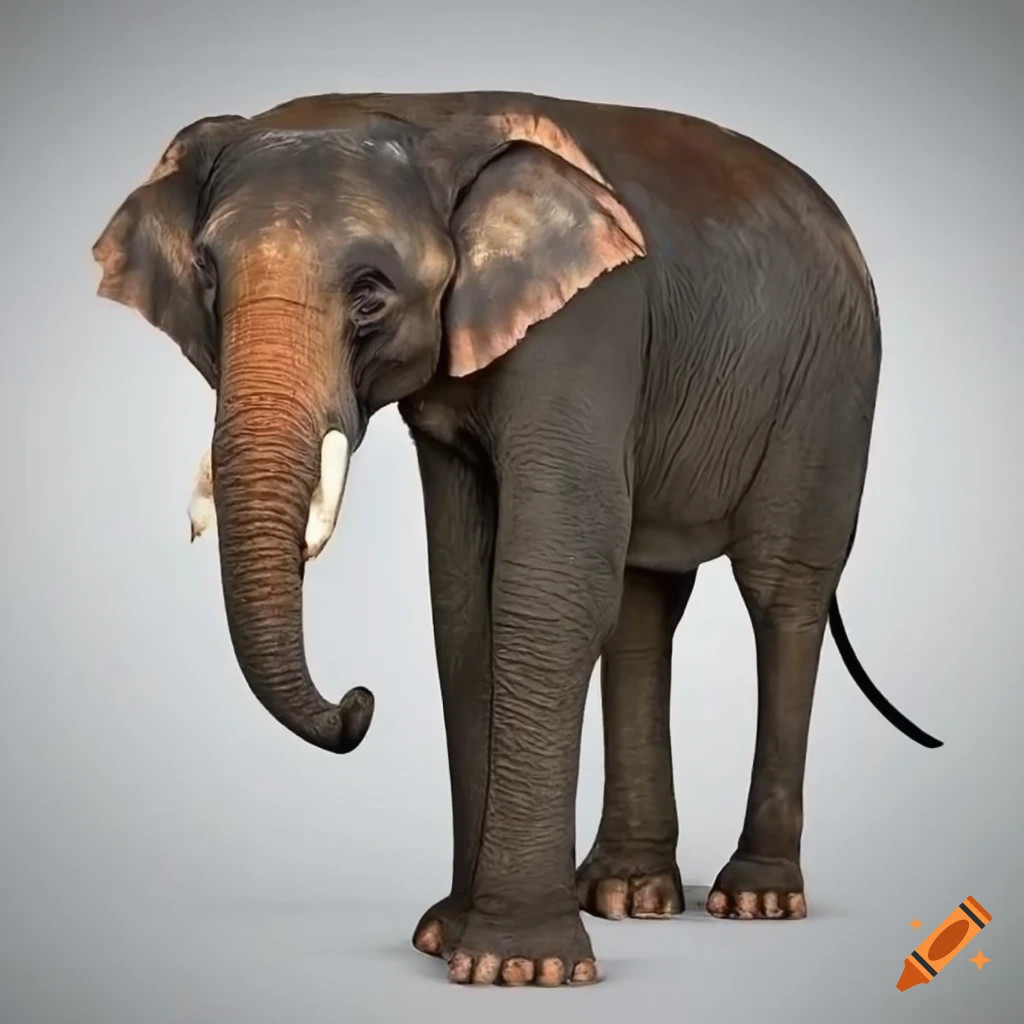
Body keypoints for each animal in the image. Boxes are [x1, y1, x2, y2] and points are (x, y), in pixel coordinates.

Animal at [92, 89, 941, 988]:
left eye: (370, 292)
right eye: (207, 276)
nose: (359, 703)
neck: (429, 116)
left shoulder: (584, 326)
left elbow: (544, 589)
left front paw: (516, 968)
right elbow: (464, 601)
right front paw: (444, 938)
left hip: (828, 386)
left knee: (780, 591)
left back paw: (756, 899)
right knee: (645, 600)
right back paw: (629, 894)